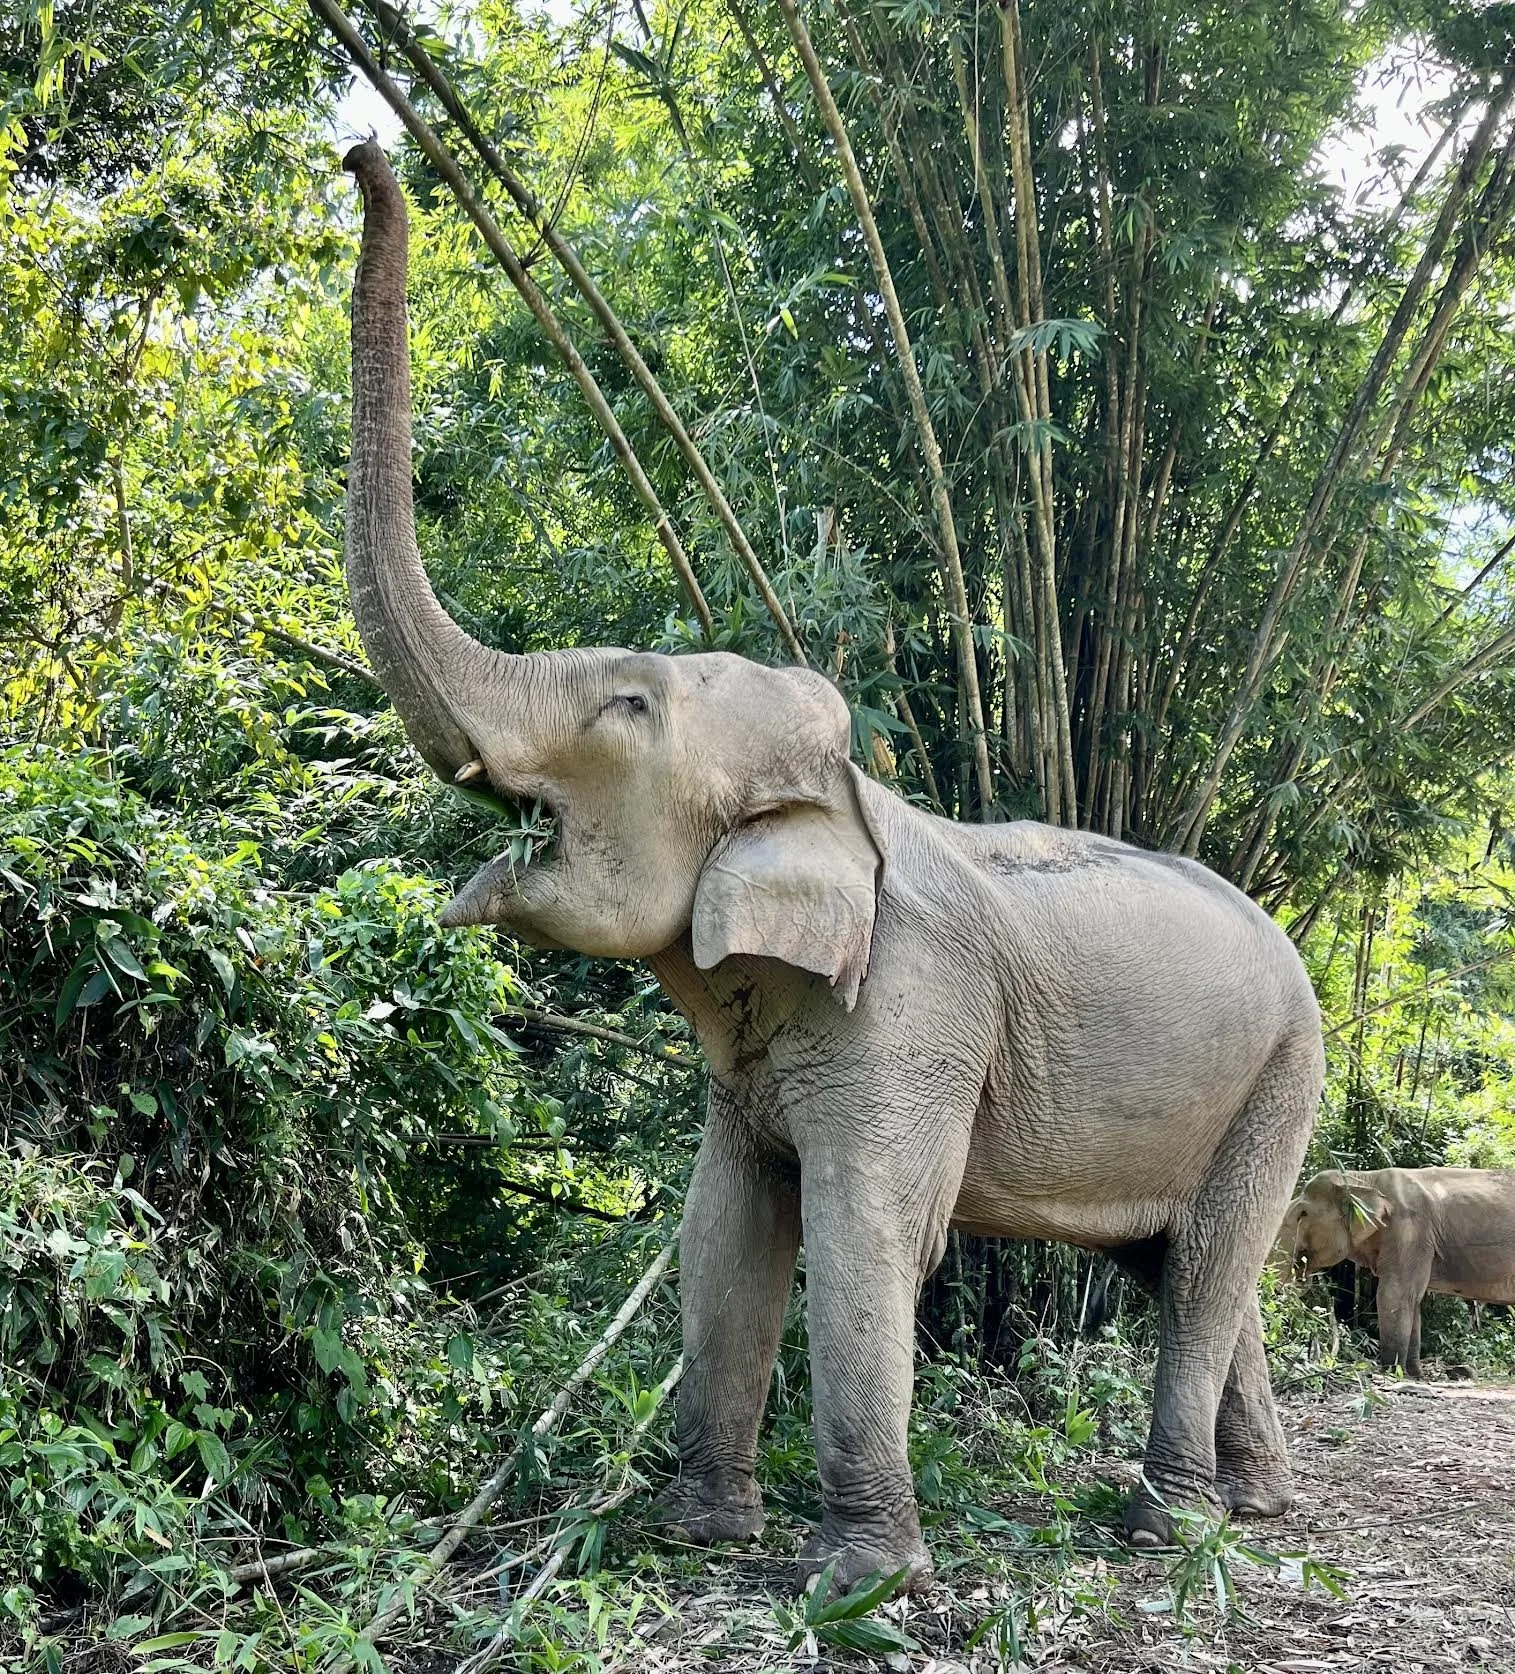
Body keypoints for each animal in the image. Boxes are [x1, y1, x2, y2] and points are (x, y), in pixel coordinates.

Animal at [339, 139, 1326, 1589]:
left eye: (625, 707)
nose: (364, 149)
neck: (847, 793)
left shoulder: (911, 1012)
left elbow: (867, 1233)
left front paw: (862, 1582)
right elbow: (724, 1228)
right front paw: (700, 1533)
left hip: (1284, 1073)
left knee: (1205, 1265)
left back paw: (1167, 1527)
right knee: (1196, 1264)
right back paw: (1248, 1505)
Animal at [1278, 1167, 1515, 1377]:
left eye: (1303, 1213)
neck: (1364, 1179)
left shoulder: (1410, 1231)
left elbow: (1394, 1294)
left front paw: (1391, 1372)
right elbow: (1413, 1300)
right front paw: (1413, 1374)